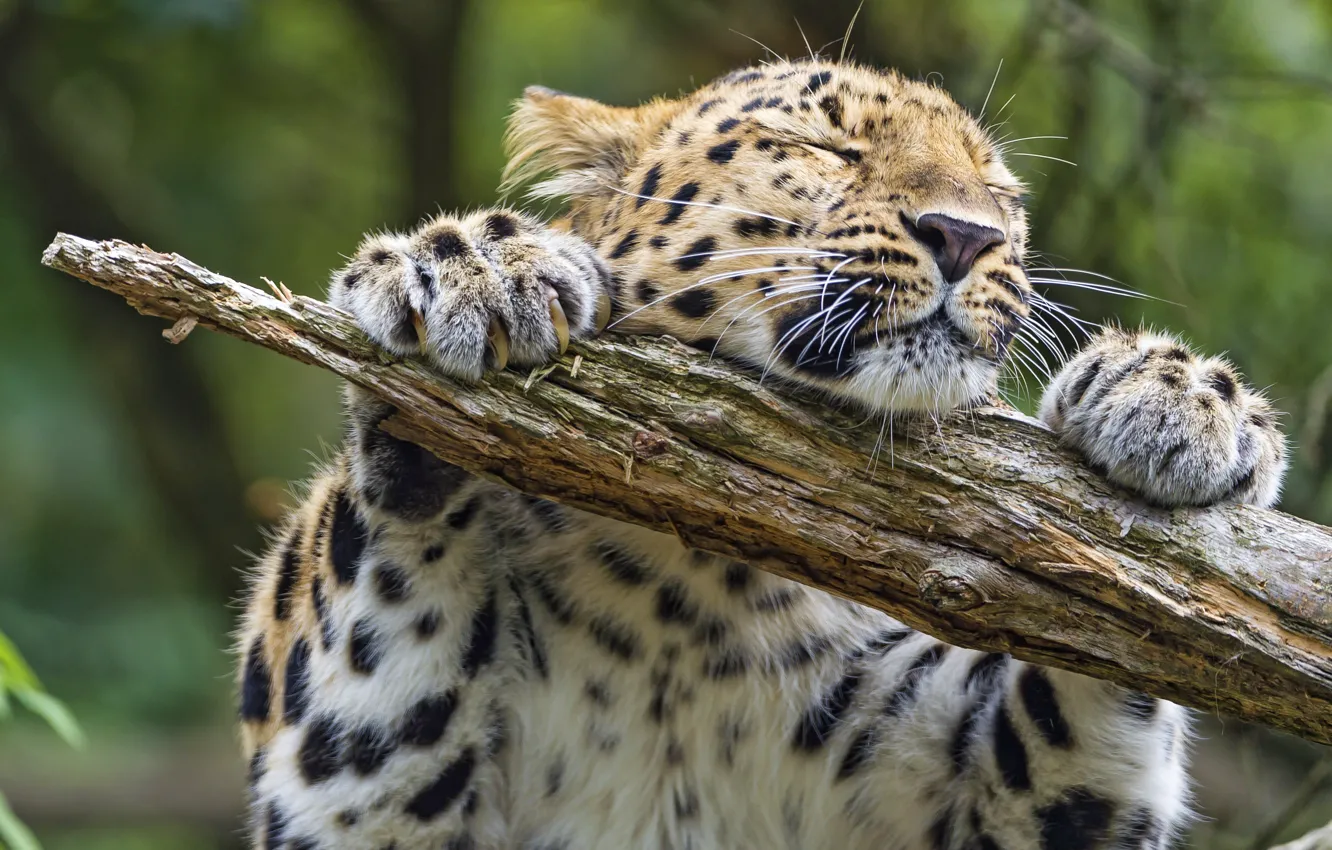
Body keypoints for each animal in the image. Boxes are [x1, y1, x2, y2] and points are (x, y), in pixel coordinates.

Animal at [234, 58, 1288, 850]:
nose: (966, 234)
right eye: (827, 147)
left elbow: (1104, 646)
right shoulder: (353, 794)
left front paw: (1180, 403)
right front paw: (466, 270)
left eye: (1001, 192)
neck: (695, 588)